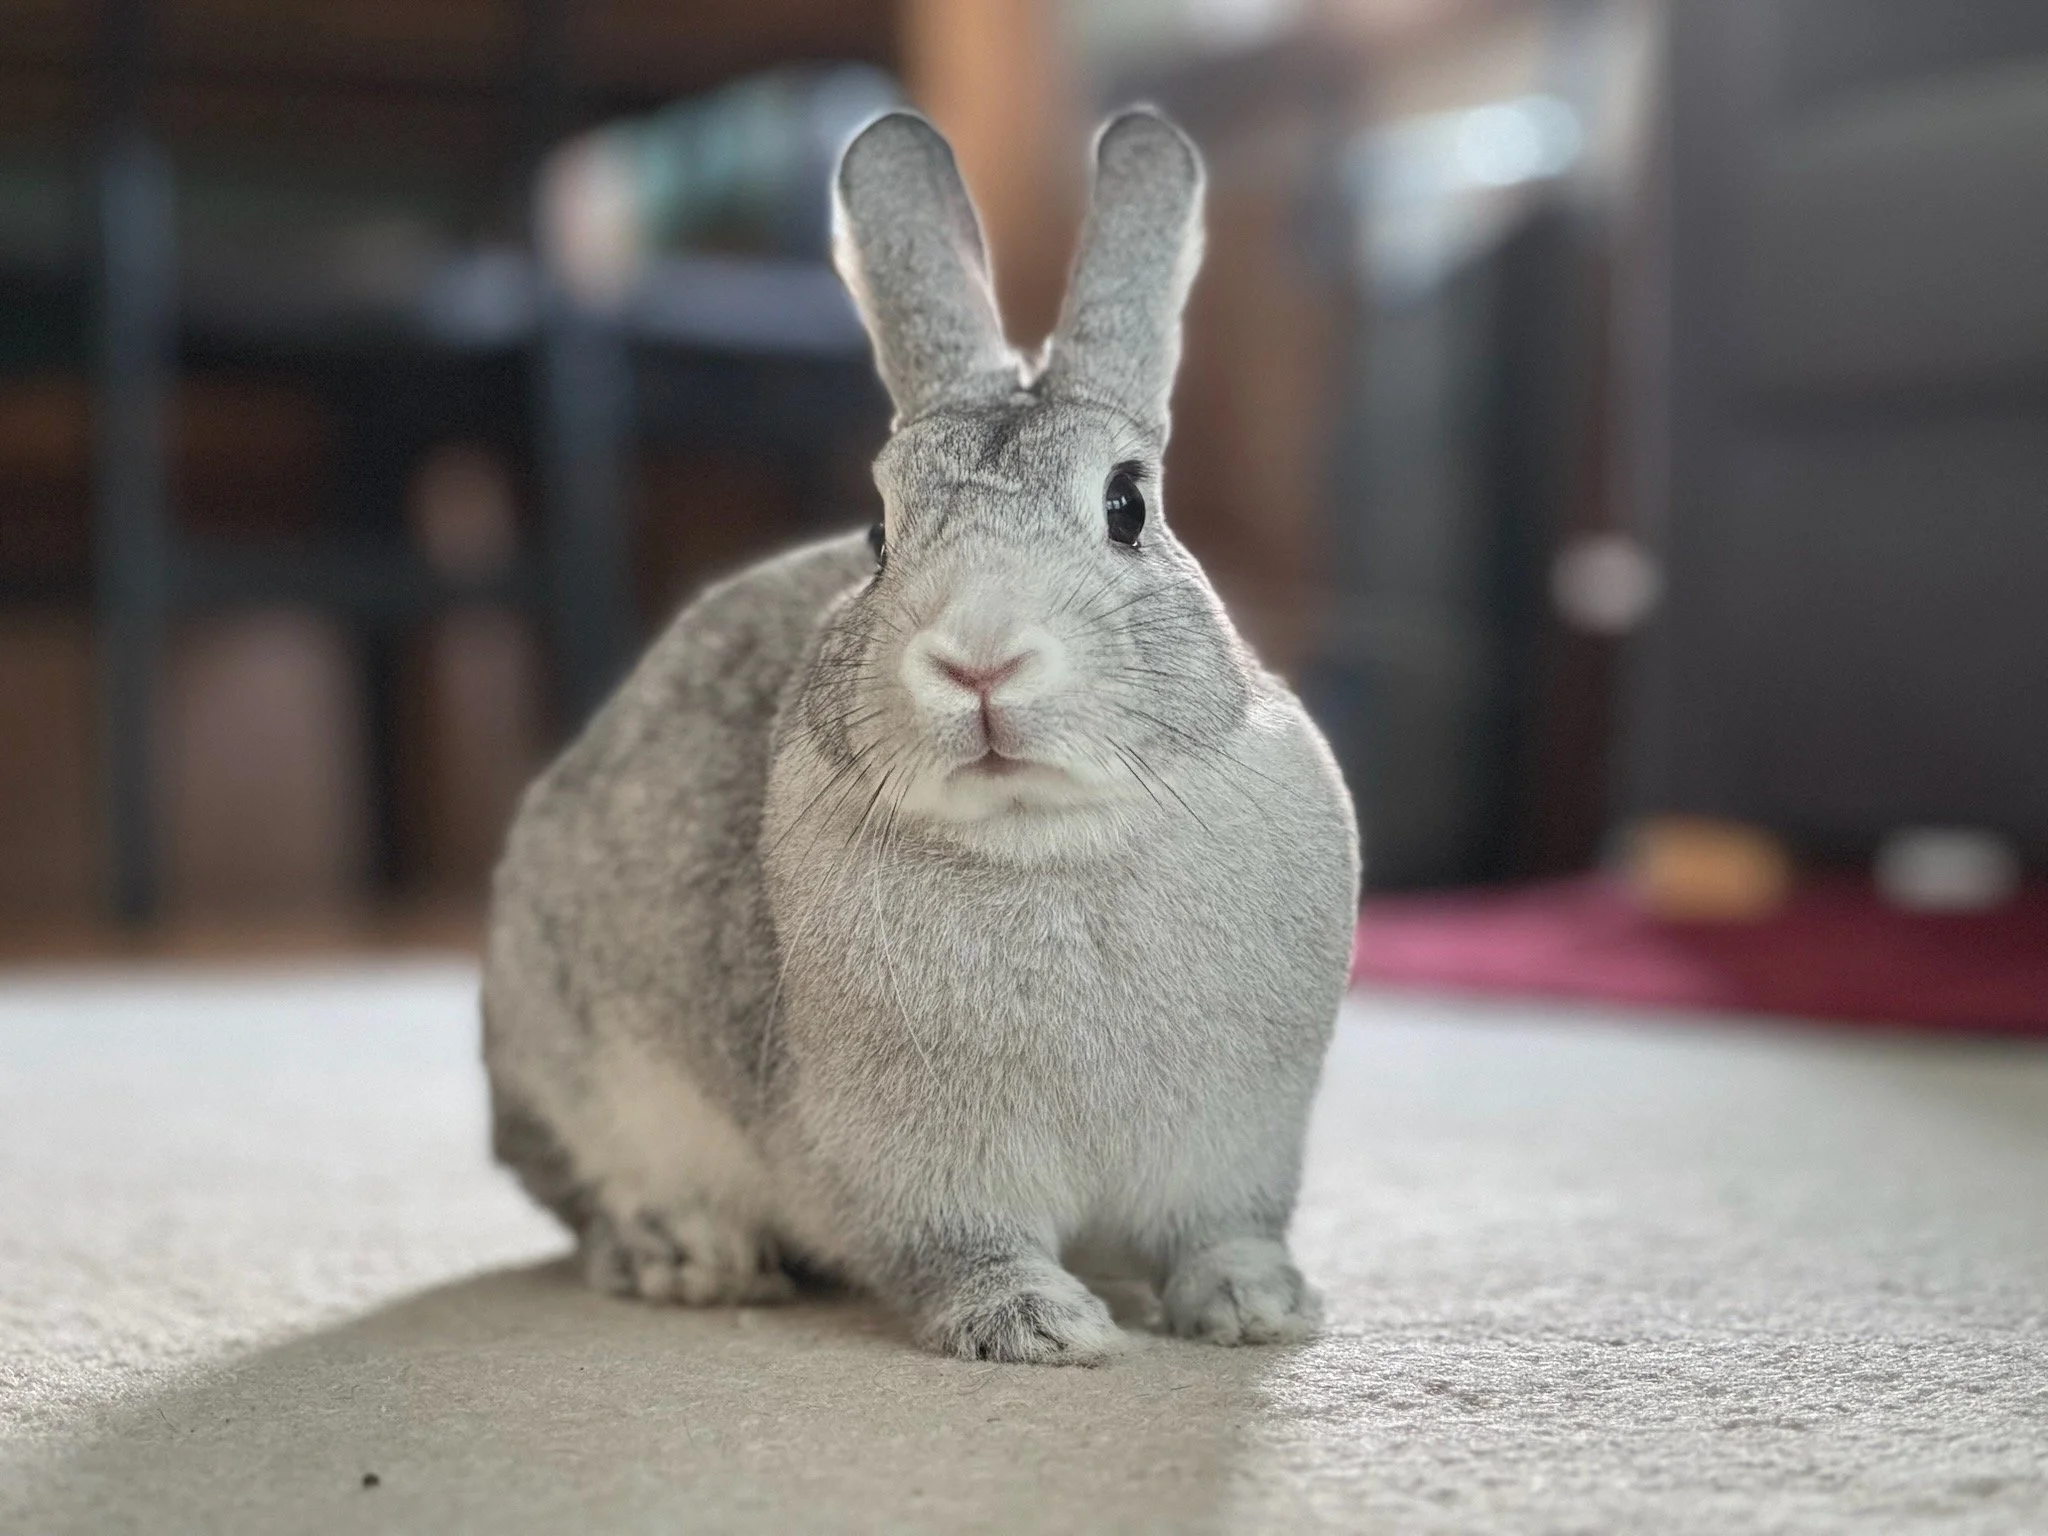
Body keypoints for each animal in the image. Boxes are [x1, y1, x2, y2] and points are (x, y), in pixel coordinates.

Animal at [483, 107, 1360, 1364]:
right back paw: (688, 1257)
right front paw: (1039, 1328)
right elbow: (963, 1249)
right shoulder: (920, 1167)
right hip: (574, 1069)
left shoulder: (1236, 1142)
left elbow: (1223, 1231)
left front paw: (1258, 1312)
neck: (1041, 840)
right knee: (589, 1209)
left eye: (1126, 505)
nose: (977, 659)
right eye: (876, 531)